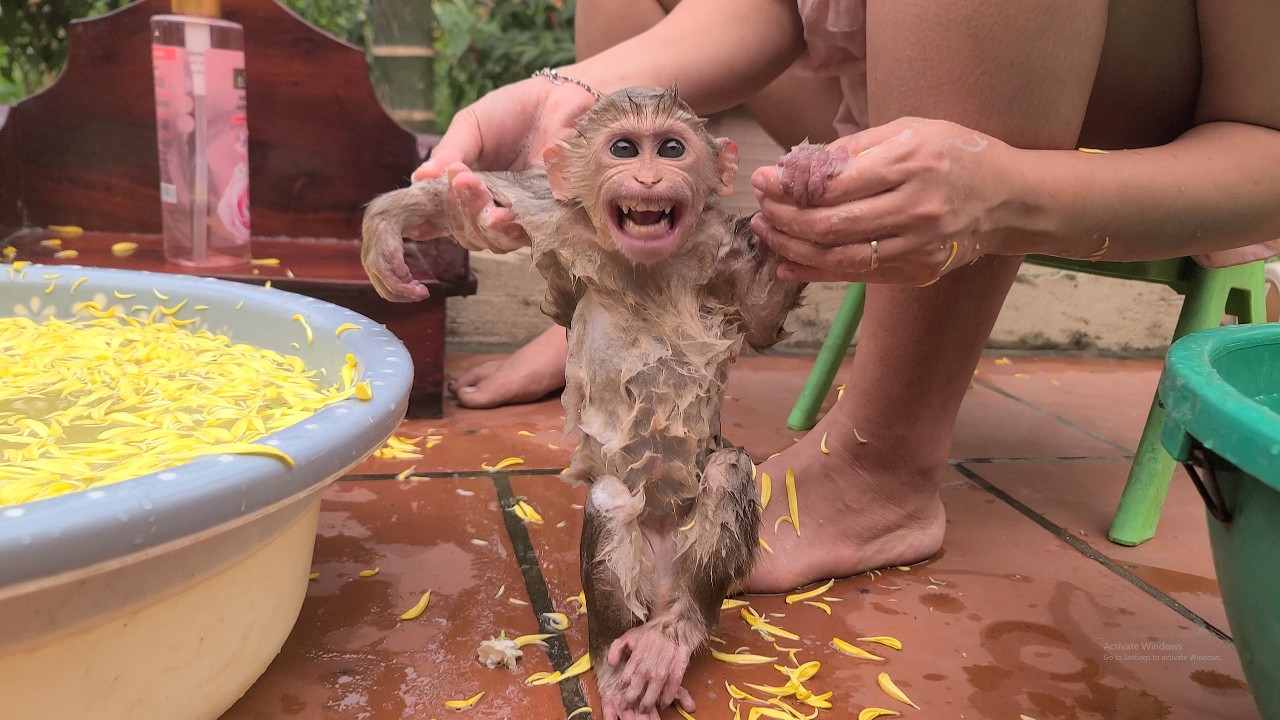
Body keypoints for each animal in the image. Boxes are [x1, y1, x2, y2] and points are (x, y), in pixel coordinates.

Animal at [361, 87, 846, 720]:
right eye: (623, 148)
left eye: (671, 148)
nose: (648, 175)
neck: (647, 265)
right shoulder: (560, 223)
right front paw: (396, 220)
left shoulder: (722, 256)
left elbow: (761, 319)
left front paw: (807, 173)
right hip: (632, 560)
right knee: (612, 500)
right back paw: (620, 663)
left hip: (689, 557)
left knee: (726, 470)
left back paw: (674, 635)